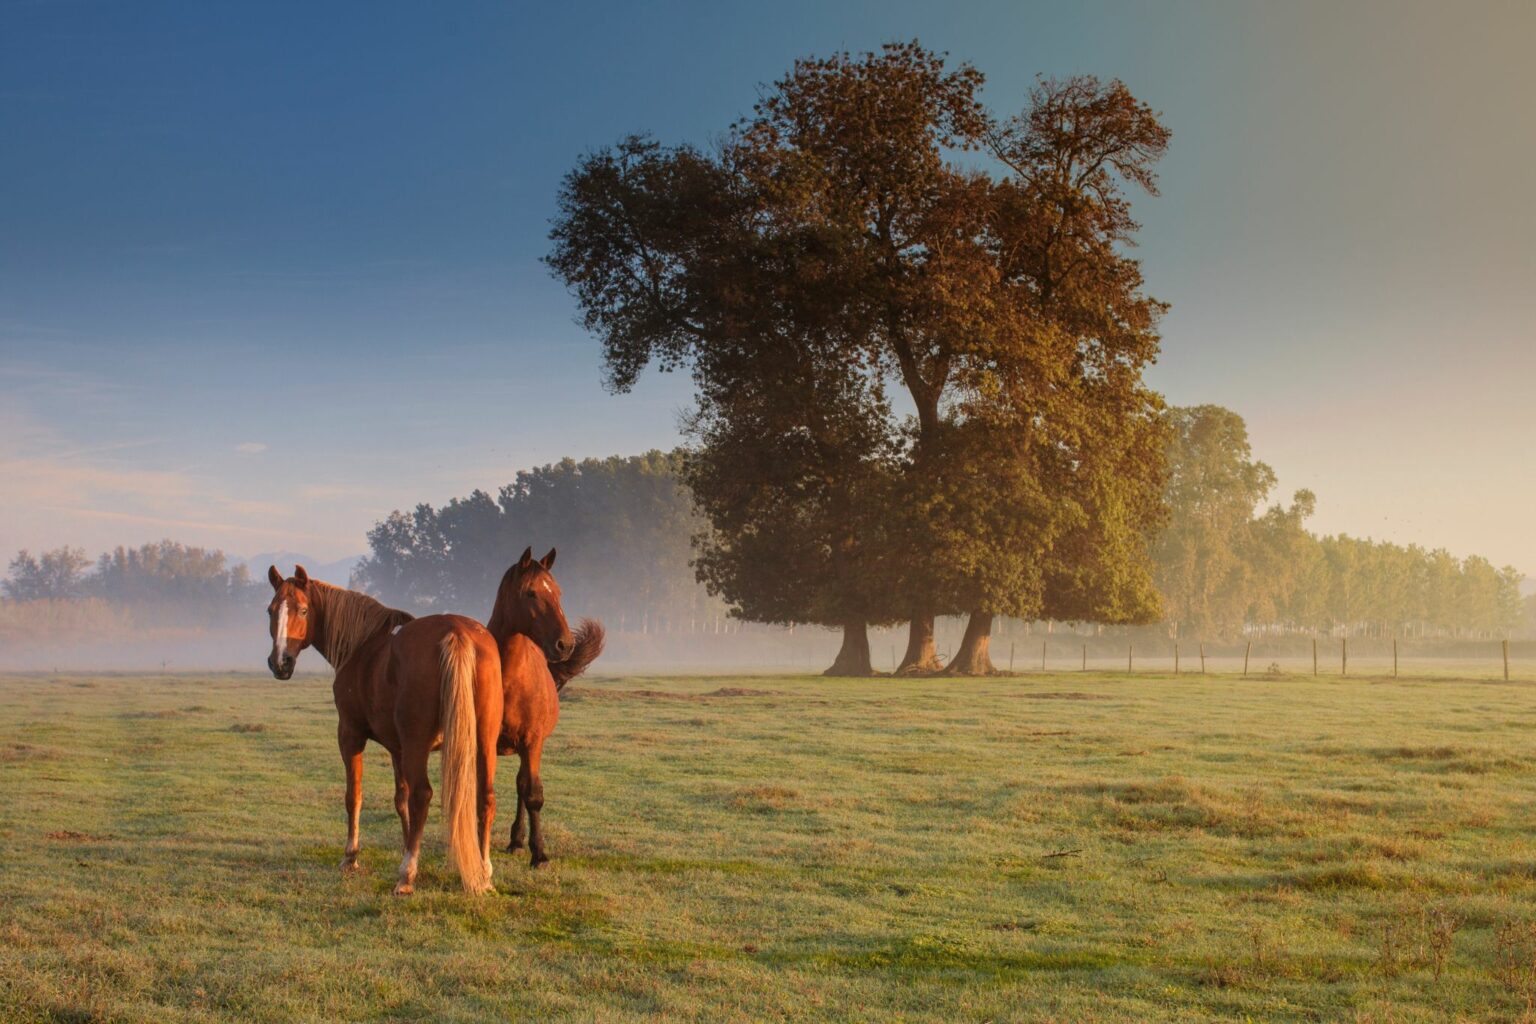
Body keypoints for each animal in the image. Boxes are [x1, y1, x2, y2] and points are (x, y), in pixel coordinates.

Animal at [265, 565, 502, 895]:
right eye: (271, 610)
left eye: (302, 609)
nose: (280, 663)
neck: (362, 646)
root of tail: (456, 633)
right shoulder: (397, 748)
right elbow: (401, 800)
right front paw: (406, 846)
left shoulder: (350, 735)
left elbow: (354, 796)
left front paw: (351, 857)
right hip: (484, 742)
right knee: (485, 798)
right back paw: (484, 872)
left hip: (417, 745)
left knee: (423, 795)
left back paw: (406, 875)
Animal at [486, 547, 605, 865]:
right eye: (530, 593)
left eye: (558, 592)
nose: (565, 645)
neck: (508, 677)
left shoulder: (532, 741)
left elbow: (533, 795)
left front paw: (539, 854)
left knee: (522, 786)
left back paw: (517, 841)